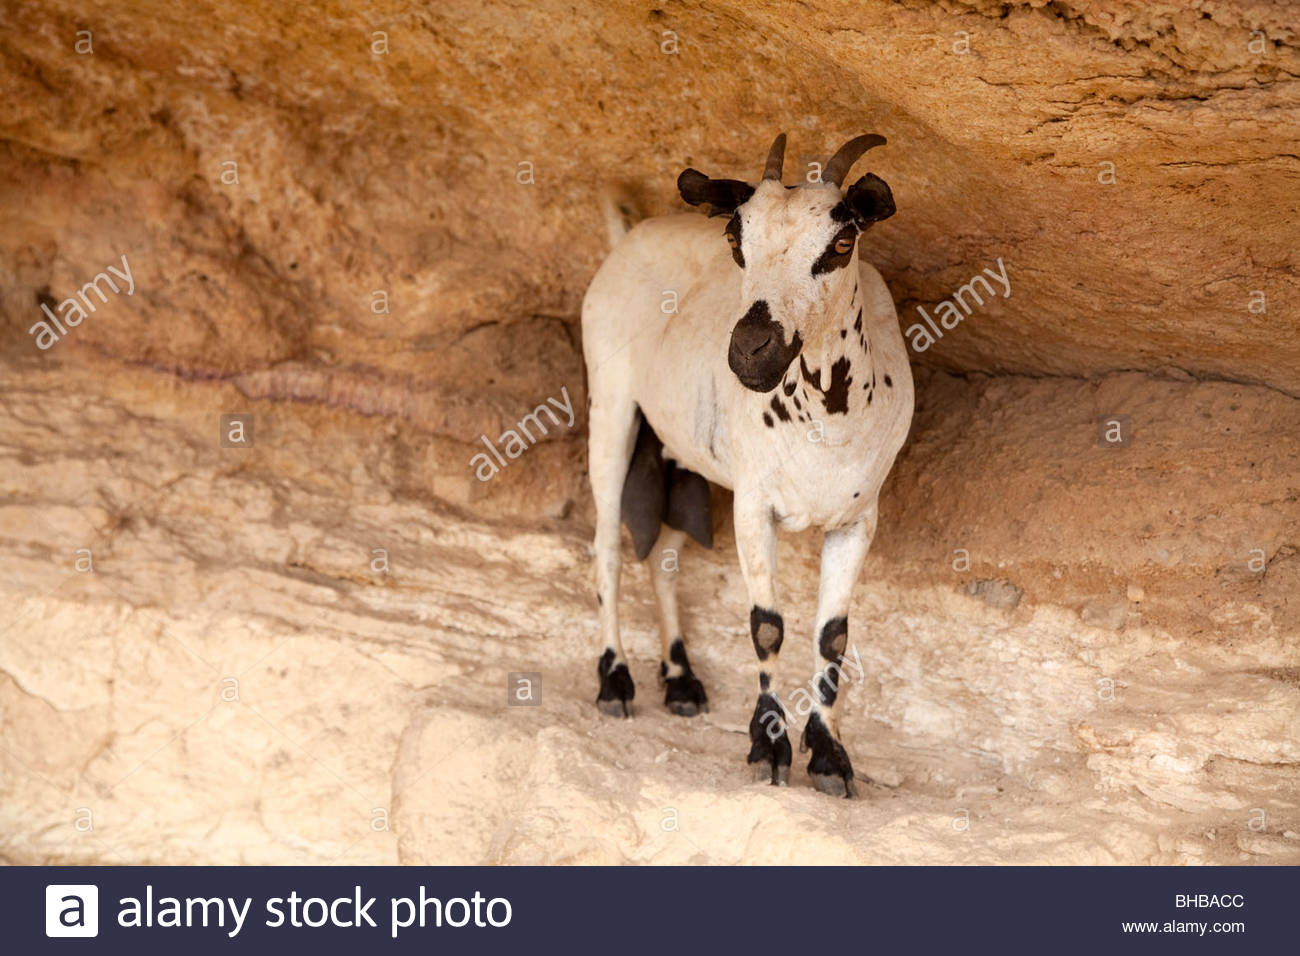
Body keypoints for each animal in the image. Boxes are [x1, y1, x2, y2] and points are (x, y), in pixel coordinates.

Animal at [581, 133, 913, 796]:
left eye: (841, 244)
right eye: (737, 240)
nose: (750, 351)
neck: (828, 418)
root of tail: (626, 236)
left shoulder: (858, 519)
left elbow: (833, 635)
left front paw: (829, 756)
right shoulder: (754, 505)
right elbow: (767, 624)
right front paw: (768, 747)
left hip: (682, 452)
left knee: (664, 556)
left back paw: (681, 679)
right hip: (611, 405)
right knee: (606, 543)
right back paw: (615, 680)